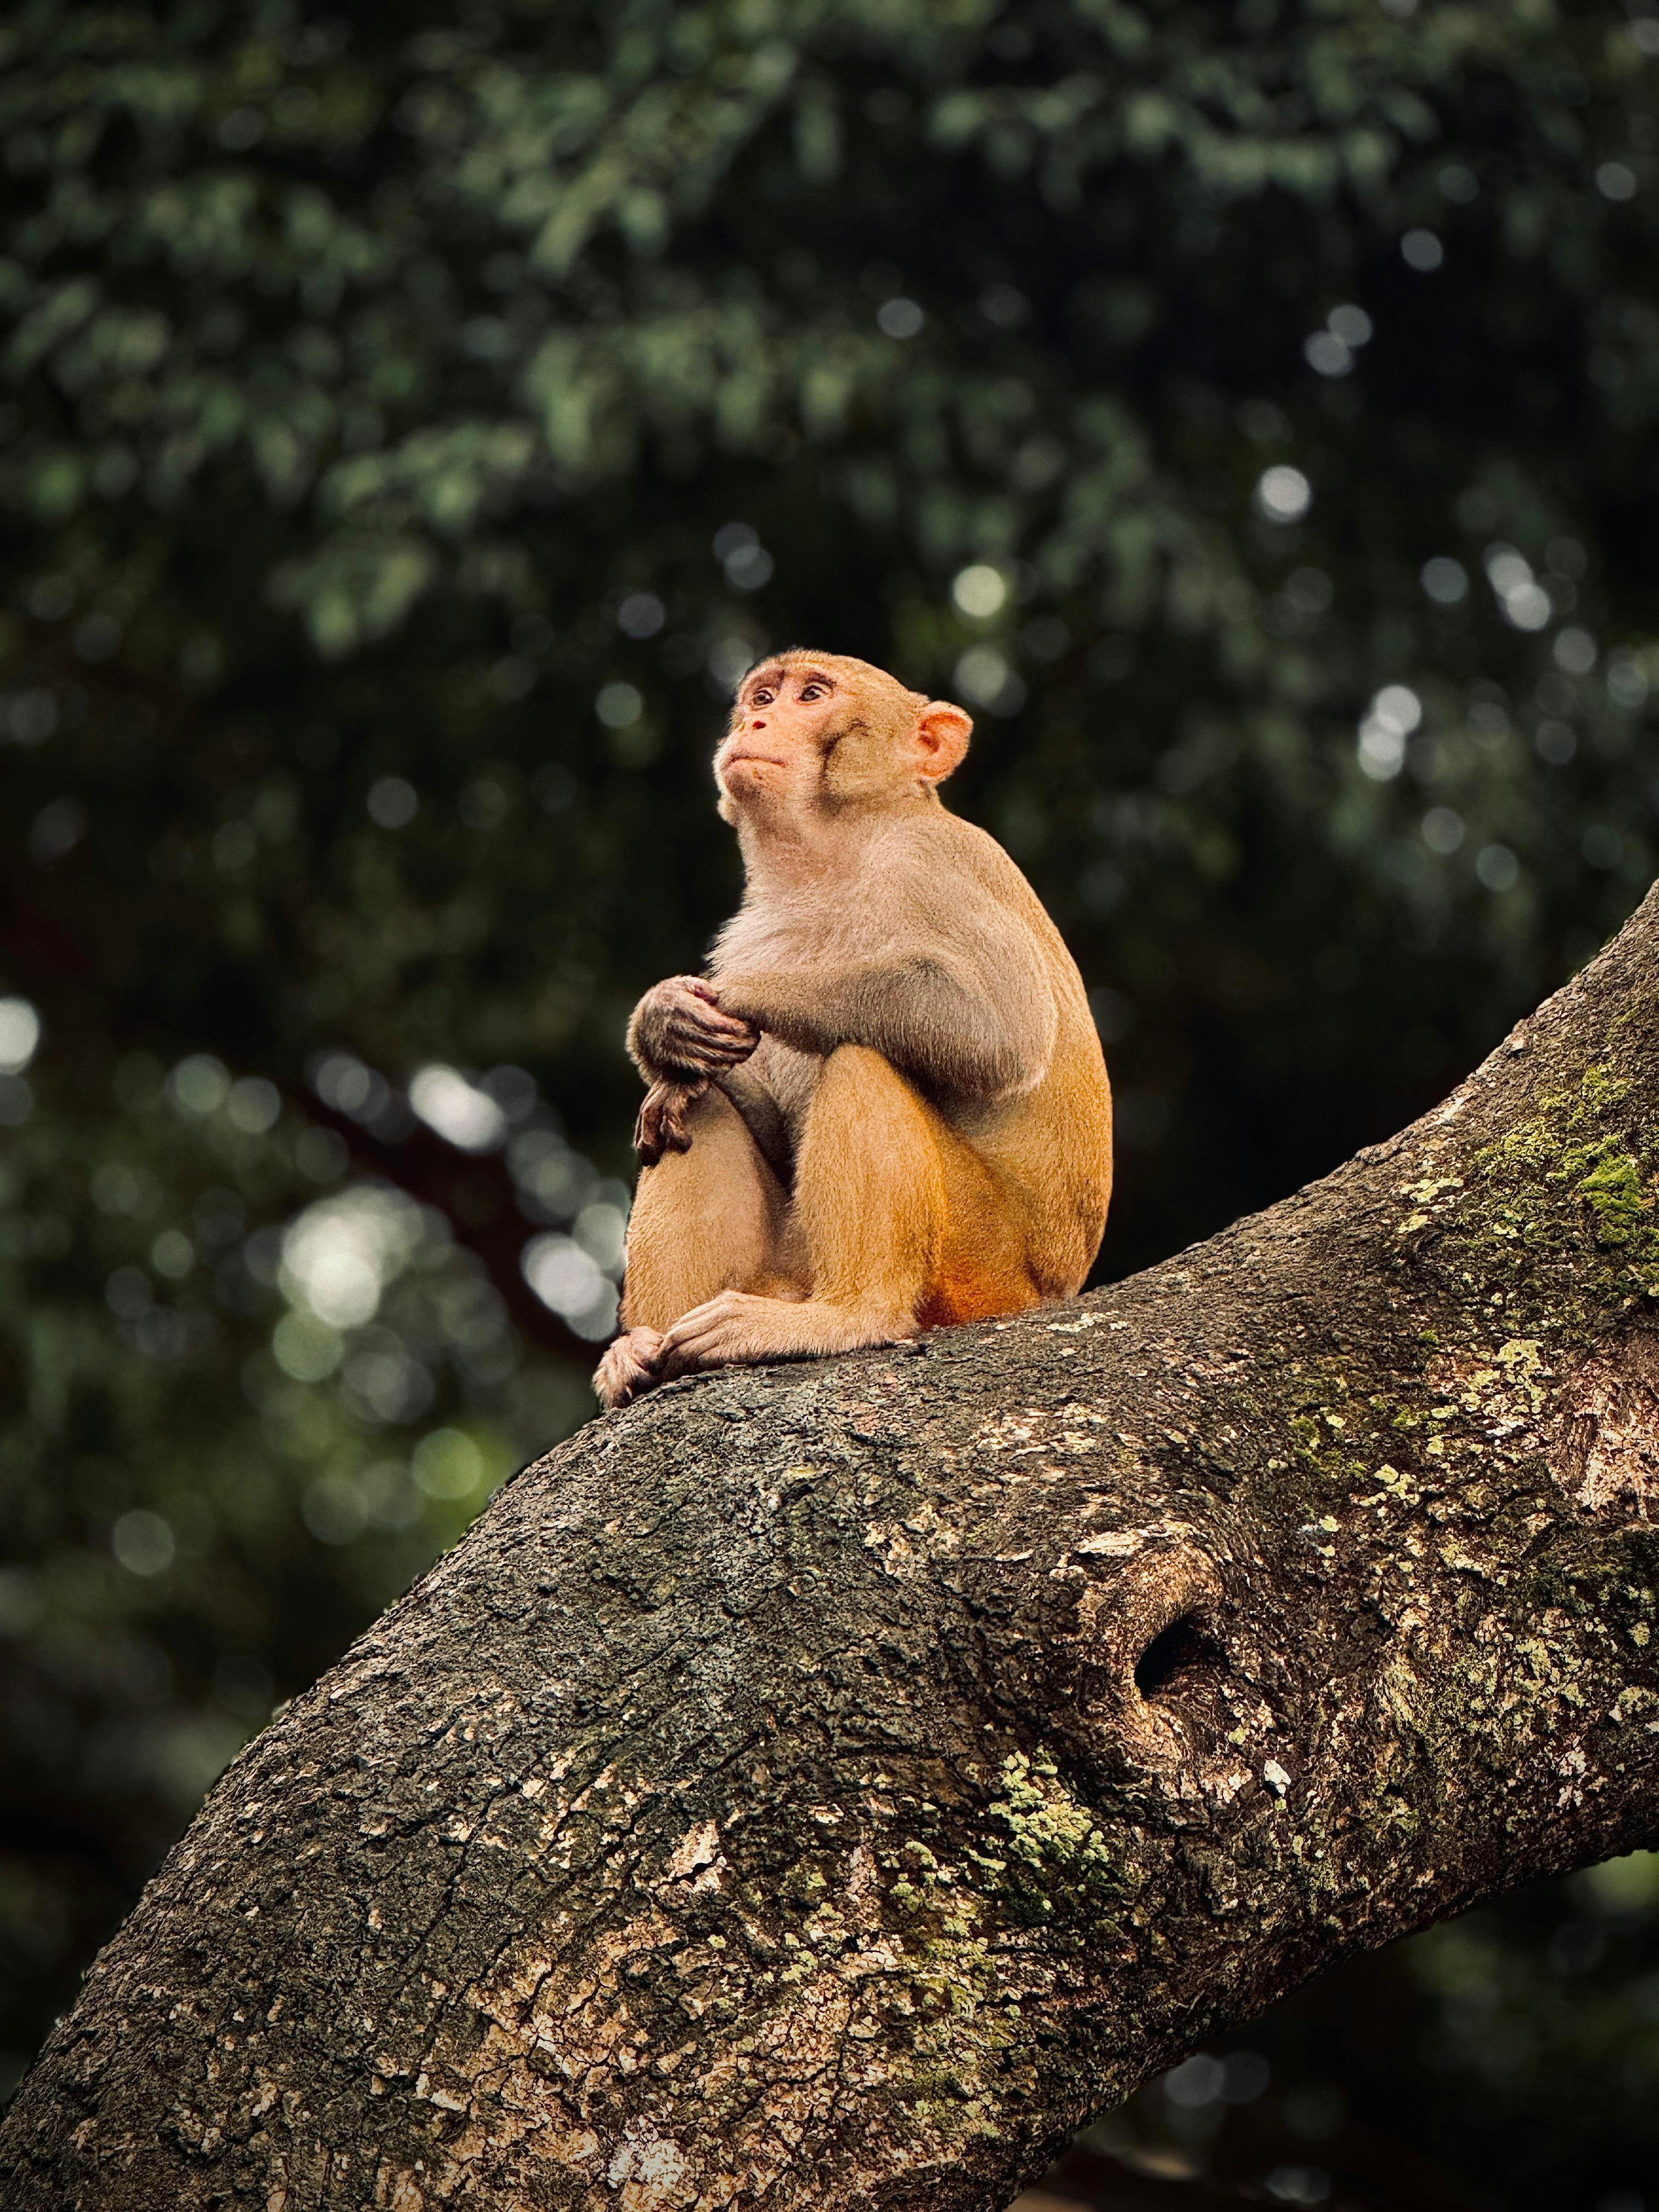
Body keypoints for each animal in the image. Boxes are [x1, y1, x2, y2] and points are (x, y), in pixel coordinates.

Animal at [593, 648, 1112, 1409]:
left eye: (812, 696)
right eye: (763, 697)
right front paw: (666, 1027)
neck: (834, 858)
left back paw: (850, 1315)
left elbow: (998, 1028)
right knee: (691, 1111)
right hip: (790, 1269)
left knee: (862, 1055)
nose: (756, 723)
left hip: (980, 1271)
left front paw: (735, 999)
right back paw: (644, 1351)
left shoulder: (936, 861)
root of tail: (1052, 1294)